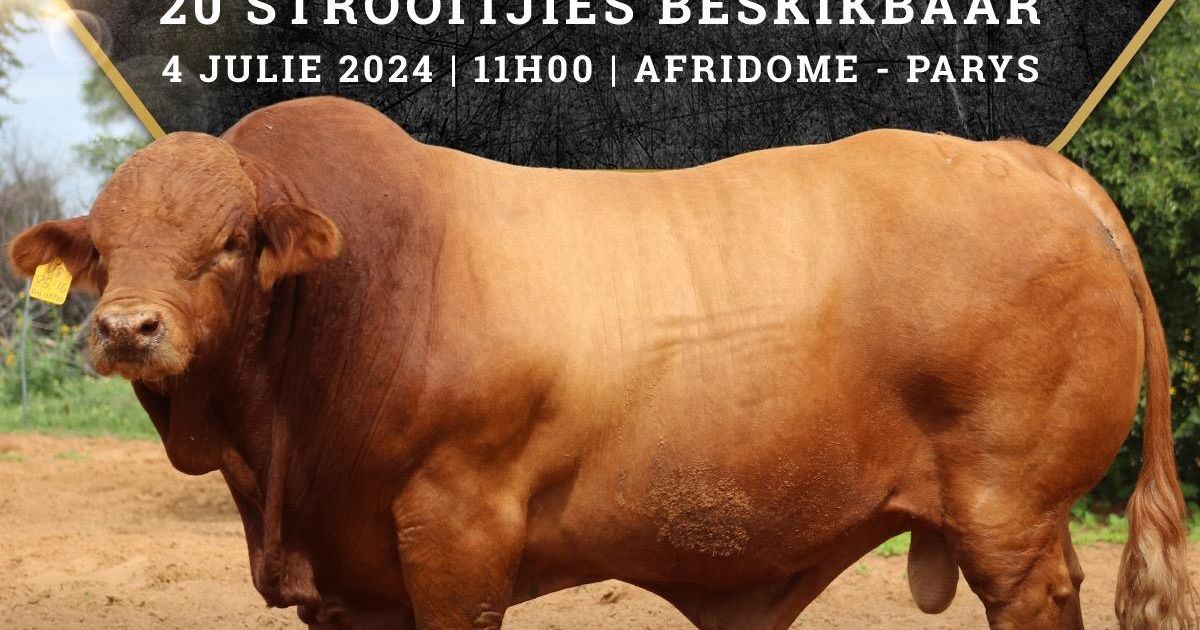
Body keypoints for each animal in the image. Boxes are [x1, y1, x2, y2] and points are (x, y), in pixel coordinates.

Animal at [9, 96, 1197, 630]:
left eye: (231, 242)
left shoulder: (458, 540)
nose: (127, 328)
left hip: (1011, 518)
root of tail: (1027, 163)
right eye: (103, 247)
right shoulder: (343, 589)